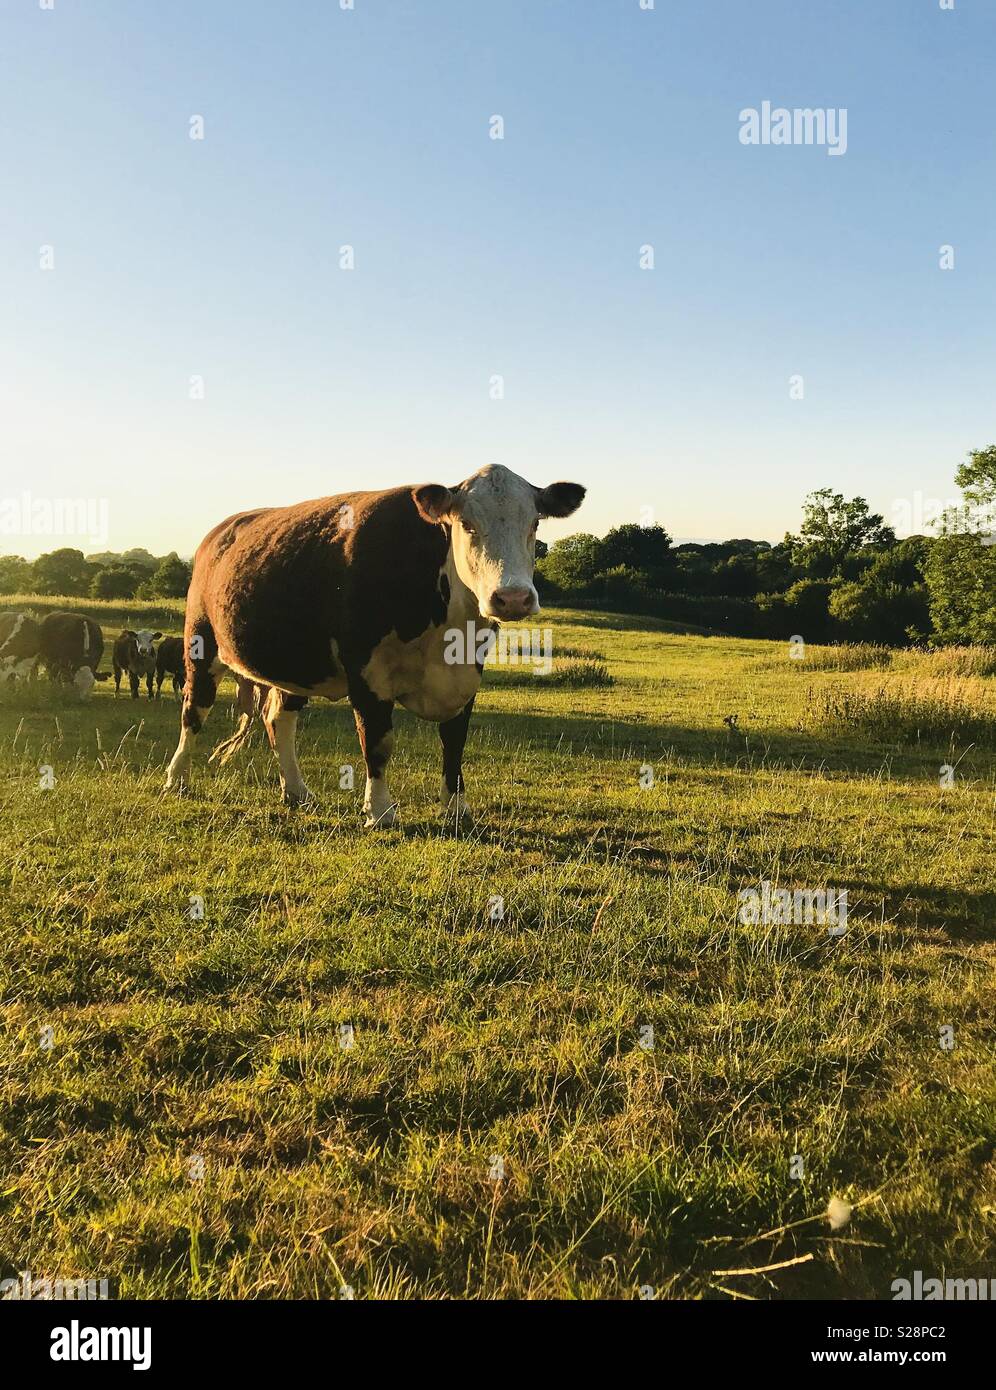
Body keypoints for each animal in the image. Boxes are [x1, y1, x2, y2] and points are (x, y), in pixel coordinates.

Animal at [165, 464, 585, 823]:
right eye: (466, 524)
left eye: (534, 522)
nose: (512, 598)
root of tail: (220, 531)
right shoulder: (366, 673)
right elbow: (378, 742)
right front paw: (380, 810)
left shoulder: (466, 675)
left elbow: (454, 744)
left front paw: (456, 810)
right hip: (201, 644)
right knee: (193, 712)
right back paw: (177, 779)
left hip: (297, 665)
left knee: (278, 719)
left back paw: (297, 792)